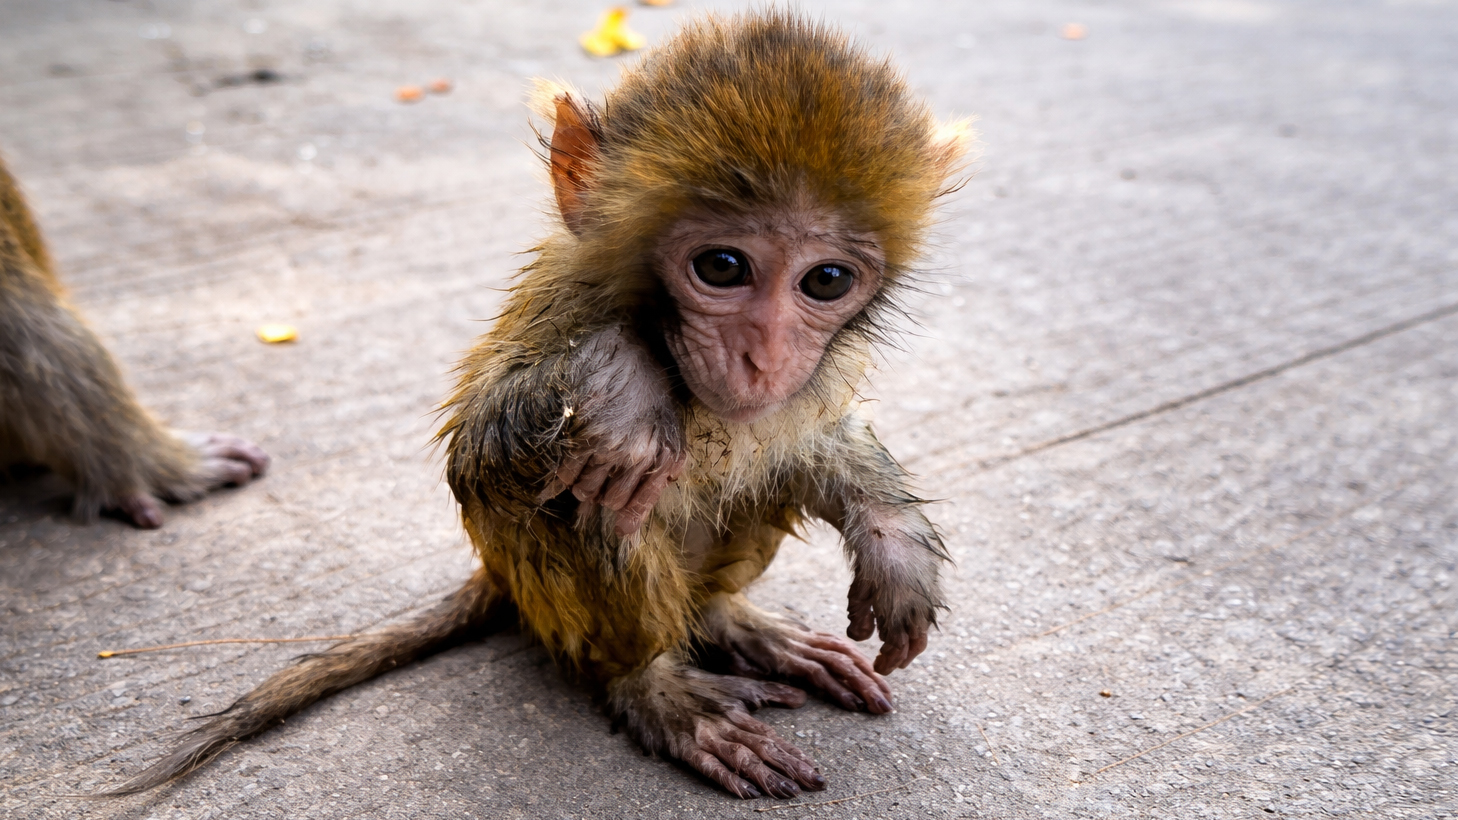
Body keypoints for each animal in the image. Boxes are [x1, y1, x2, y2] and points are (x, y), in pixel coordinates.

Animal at [104, 12, 970, 799]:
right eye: (723, 267)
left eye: (825, 280)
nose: (765, 358)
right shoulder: (558, 304)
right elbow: (483, 459)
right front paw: (622, 383)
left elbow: (817, 441)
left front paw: (895, 544)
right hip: (540, 591)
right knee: (590, 507)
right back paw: (651, 684)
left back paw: (726, 620)